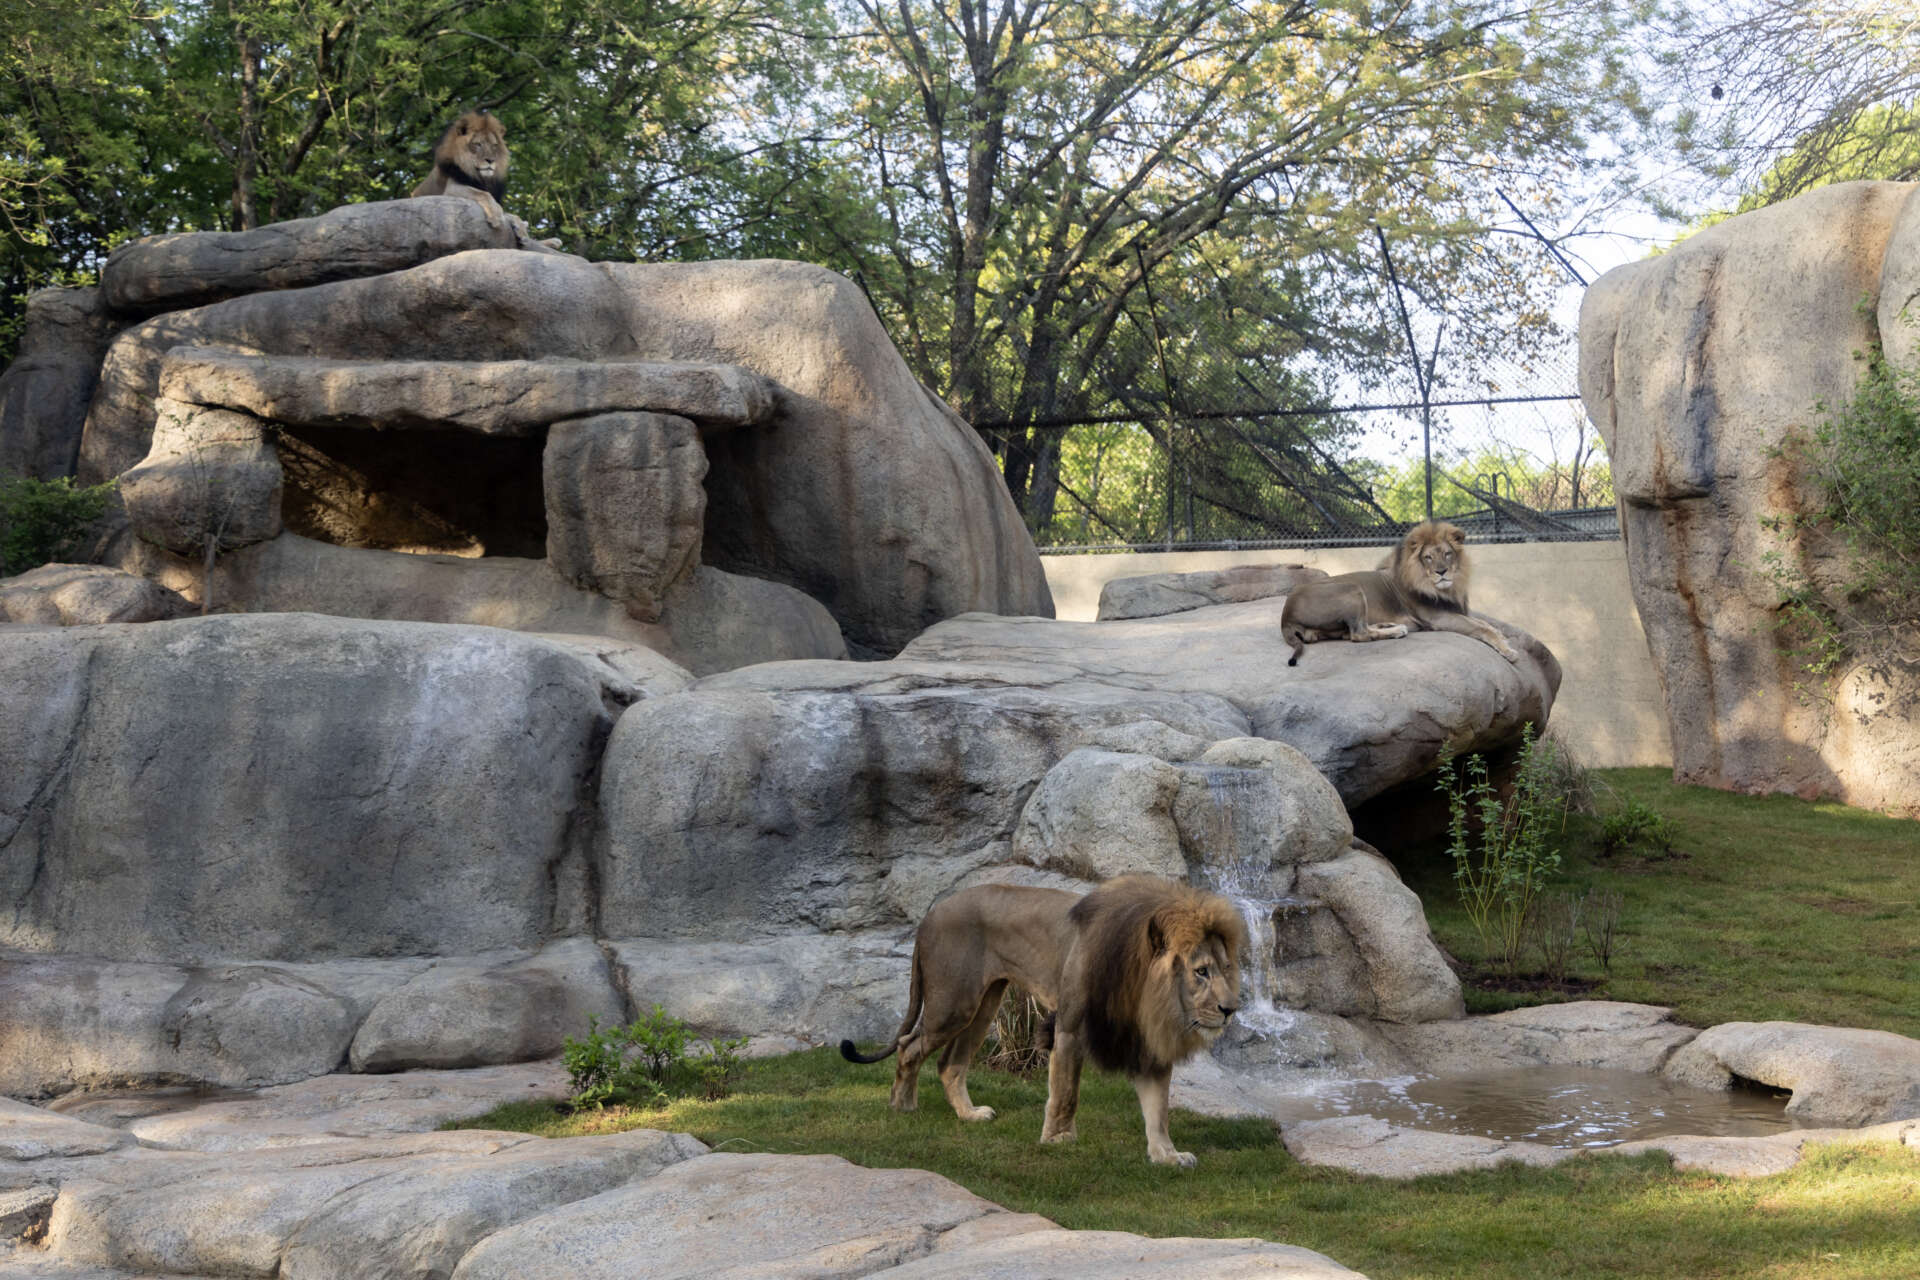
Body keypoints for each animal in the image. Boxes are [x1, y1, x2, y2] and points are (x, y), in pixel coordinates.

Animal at [840, 876, 1247, 1167]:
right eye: (1201, 972)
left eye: (1226, 968)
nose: (1231, 1009)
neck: (1141, 991)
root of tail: (930, 913)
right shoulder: (1069, 1027)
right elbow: (1066, 1092)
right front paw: (1058, 1139)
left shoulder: (1147, 1041)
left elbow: (1158, 1109)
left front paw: (1167, 1155)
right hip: (953, 1003)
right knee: (910, 1046)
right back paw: (902, 1106)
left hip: (986, 1004)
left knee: (949, 1063)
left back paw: (969, 1114)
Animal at [1279, 520, 1520, 666]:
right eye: (1428, 557)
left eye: (1447, 554)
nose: (1441, 572)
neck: (1447, 587)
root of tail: (1285, 615)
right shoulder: (1438, 617)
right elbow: (1481, 628)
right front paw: (1508, 651)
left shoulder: (1456, 611)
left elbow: (1486, 624)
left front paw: (1504, 639)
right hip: (1351, 588)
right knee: (1358, 634)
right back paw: (1397, 630)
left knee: (1351, 632)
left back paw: (1388, 626)